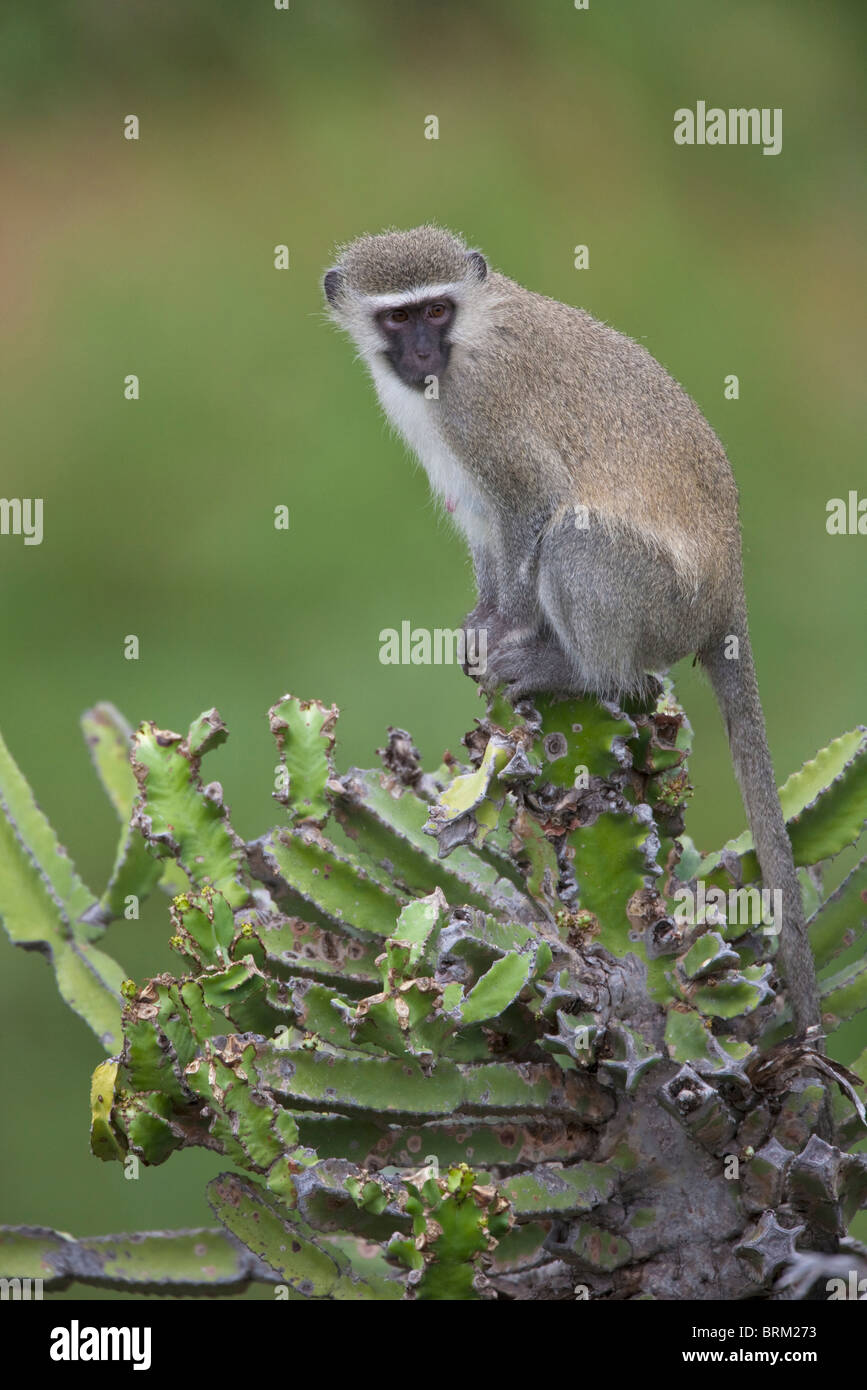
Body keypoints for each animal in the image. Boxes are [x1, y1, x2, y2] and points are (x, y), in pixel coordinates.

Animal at [322, 224, 821, 1038]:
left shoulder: (479, 405)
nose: (423, 353)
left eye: (437, 310)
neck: (466, 339)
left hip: (656, 601)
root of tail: (726, 596)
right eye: (399, 317)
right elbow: (481, 518)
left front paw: (511, 631)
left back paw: (574, 671)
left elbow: (531, 504)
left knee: (577, 545)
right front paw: (482, 622)